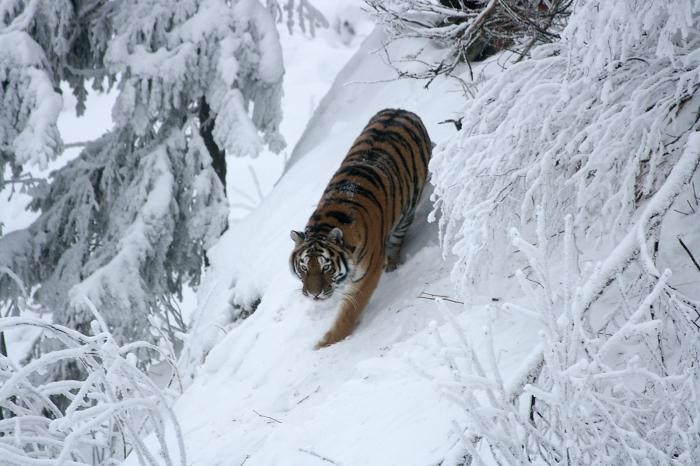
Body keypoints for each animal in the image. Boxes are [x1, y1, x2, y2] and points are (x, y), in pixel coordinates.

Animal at [290, 109, 432, 348]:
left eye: (326, 267)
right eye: (303, 267)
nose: (313, 295)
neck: (324, 224)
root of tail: (401, 110)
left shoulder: (365, 275)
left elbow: (349, 310)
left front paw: (326, 342)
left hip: (408, 209)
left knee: (397, 238)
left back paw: (392, 263)